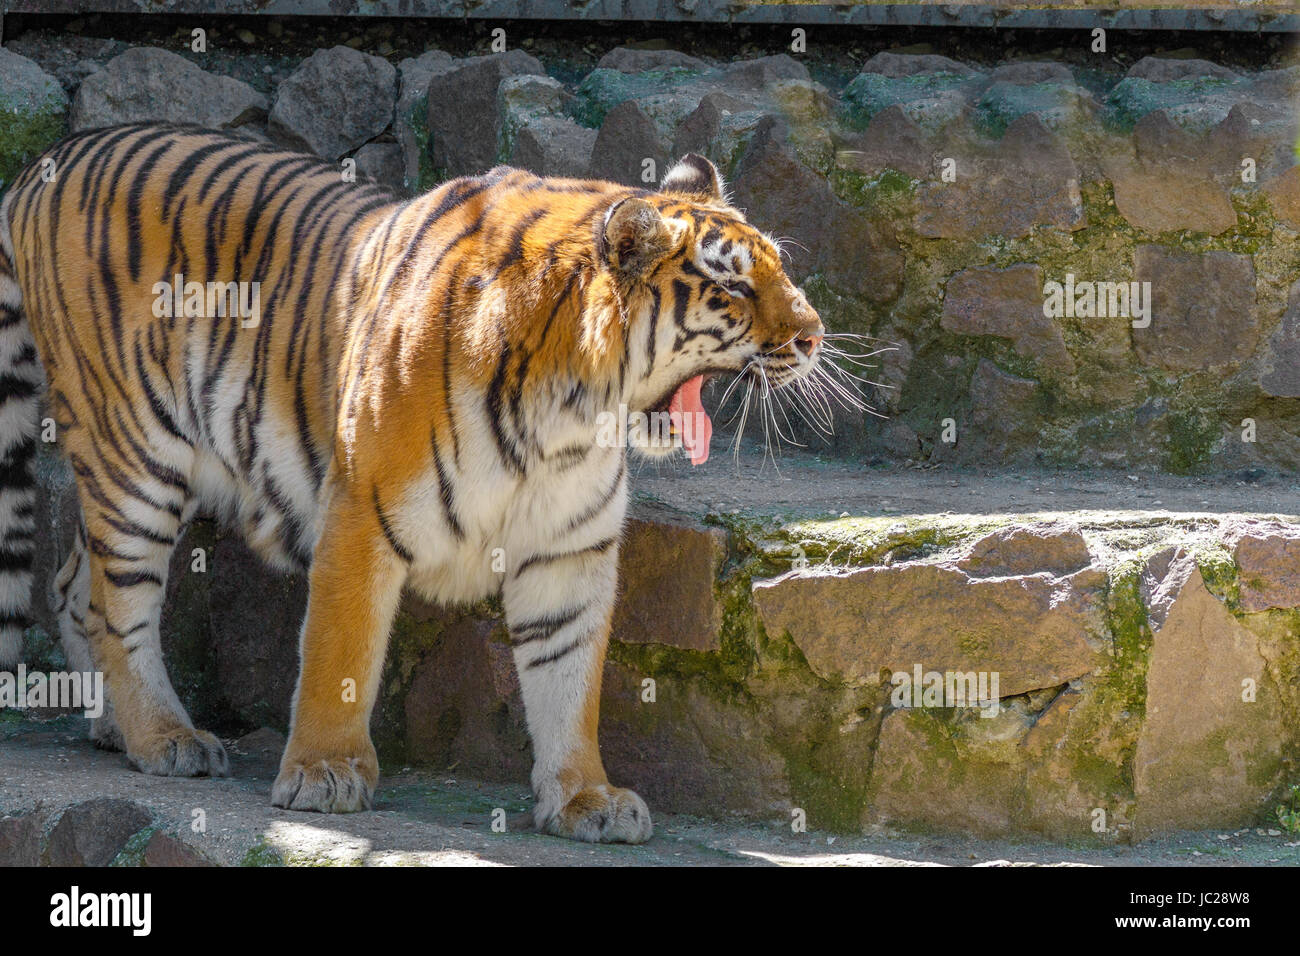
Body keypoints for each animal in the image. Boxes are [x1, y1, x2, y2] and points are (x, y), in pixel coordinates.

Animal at [0, 122, 825, 844]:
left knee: (74, 586)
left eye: (780, 269)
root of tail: (47, 158)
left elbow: (568, 679)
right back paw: (163, 736)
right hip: (133, 450)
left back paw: (112, 726)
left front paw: (585, 795)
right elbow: (340, 654)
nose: (817, 335)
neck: (572, 415)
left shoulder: (568, 551)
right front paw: (325, 772)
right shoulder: (361, 511)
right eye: (735, 290)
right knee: (118, 603)